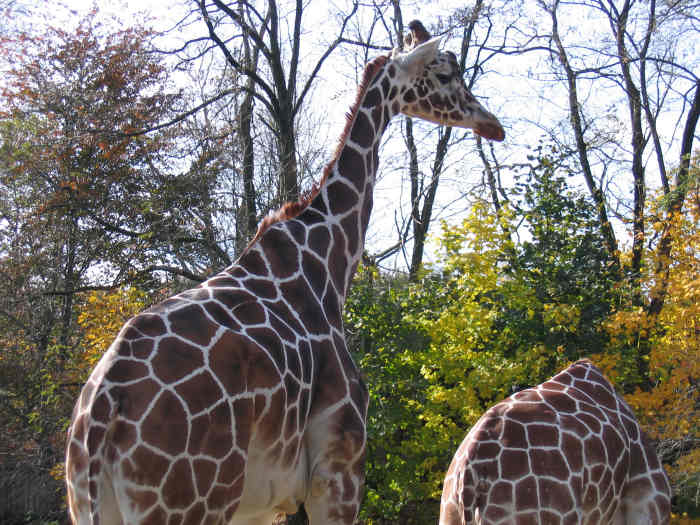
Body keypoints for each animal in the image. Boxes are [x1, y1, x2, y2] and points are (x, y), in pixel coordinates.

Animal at [65, 20, 505, 525]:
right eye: (447, 74)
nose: (493, 124)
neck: (325, 263)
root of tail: (101, 414)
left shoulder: (262, 504)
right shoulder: (338, 471)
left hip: (92, 502)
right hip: (190, 503)